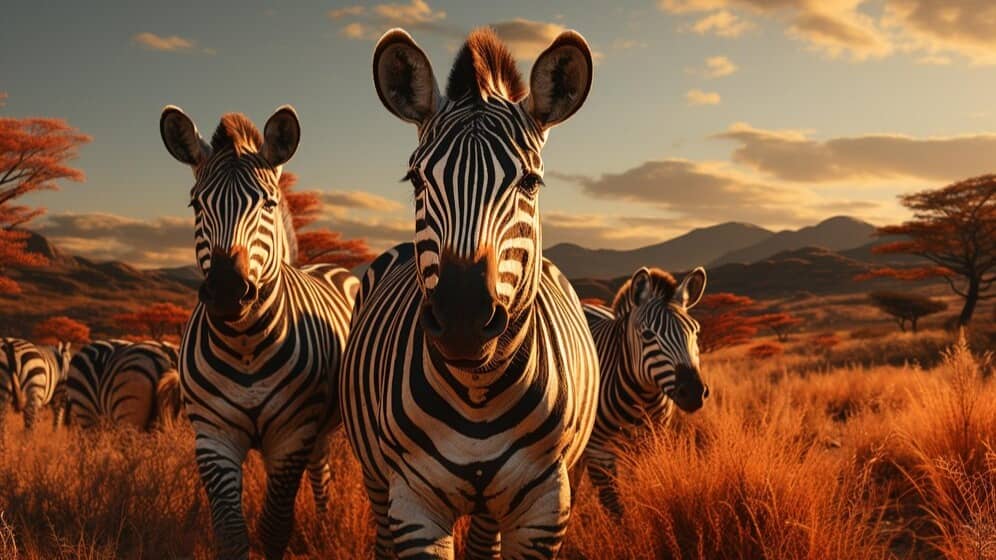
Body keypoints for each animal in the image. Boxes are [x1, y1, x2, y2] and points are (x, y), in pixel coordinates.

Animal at [160, 105, 358, 560]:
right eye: (196, 203)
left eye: (267, 203)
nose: (227, 291)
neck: (244, 342)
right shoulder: (213, 438)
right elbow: (231, 532)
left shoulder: (290, 437)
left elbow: (273, 527)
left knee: (321, 476)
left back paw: (324, 526)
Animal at [341, 27, 599, 559]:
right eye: (416, 179)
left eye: (531, 182)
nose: (462, 322)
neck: (479, 392)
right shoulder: (413, 503)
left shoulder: (545, 505)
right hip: (376, 479)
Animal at [580, 267, 709, 519]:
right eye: (648, 335)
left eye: (696, 332)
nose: (694, 392)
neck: (642, 396)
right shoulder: (599, 450)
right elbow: (614, 506)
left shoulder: (654, 438)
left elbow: (650, 485)